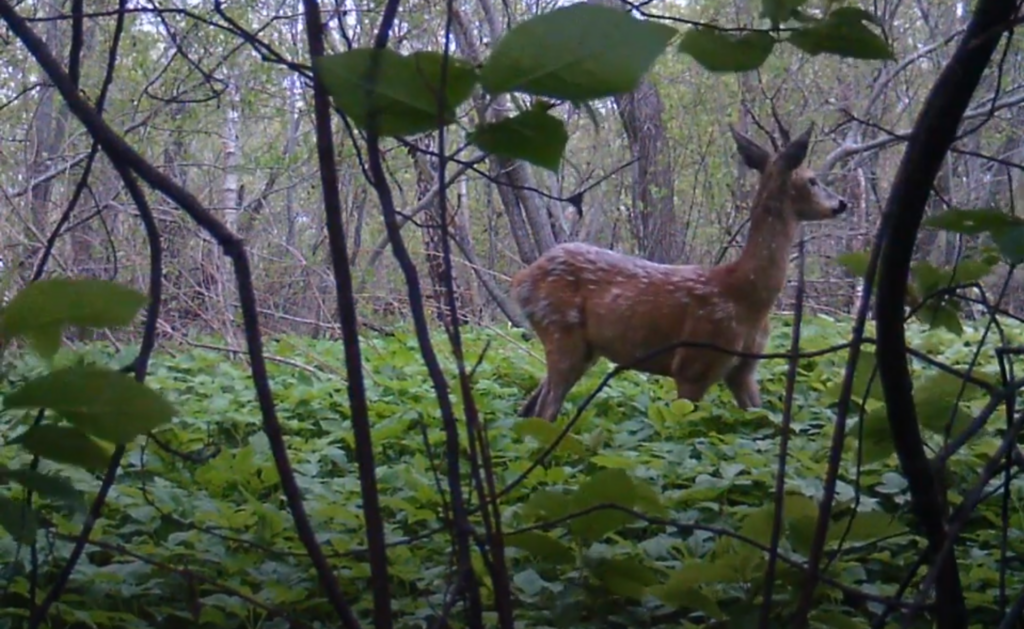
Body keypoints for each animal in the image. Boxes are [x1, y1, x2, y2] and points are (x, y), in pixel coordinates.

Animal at [510, 123, 849, 423]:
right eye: (812, 180)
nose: (842, 203)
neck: (746, 294)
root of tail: (520, 280)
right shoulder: (693, 363)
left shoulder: (744, 370)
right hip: (560, 331)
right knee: (545, 410)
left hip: (583, 349)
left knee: (529, 408)